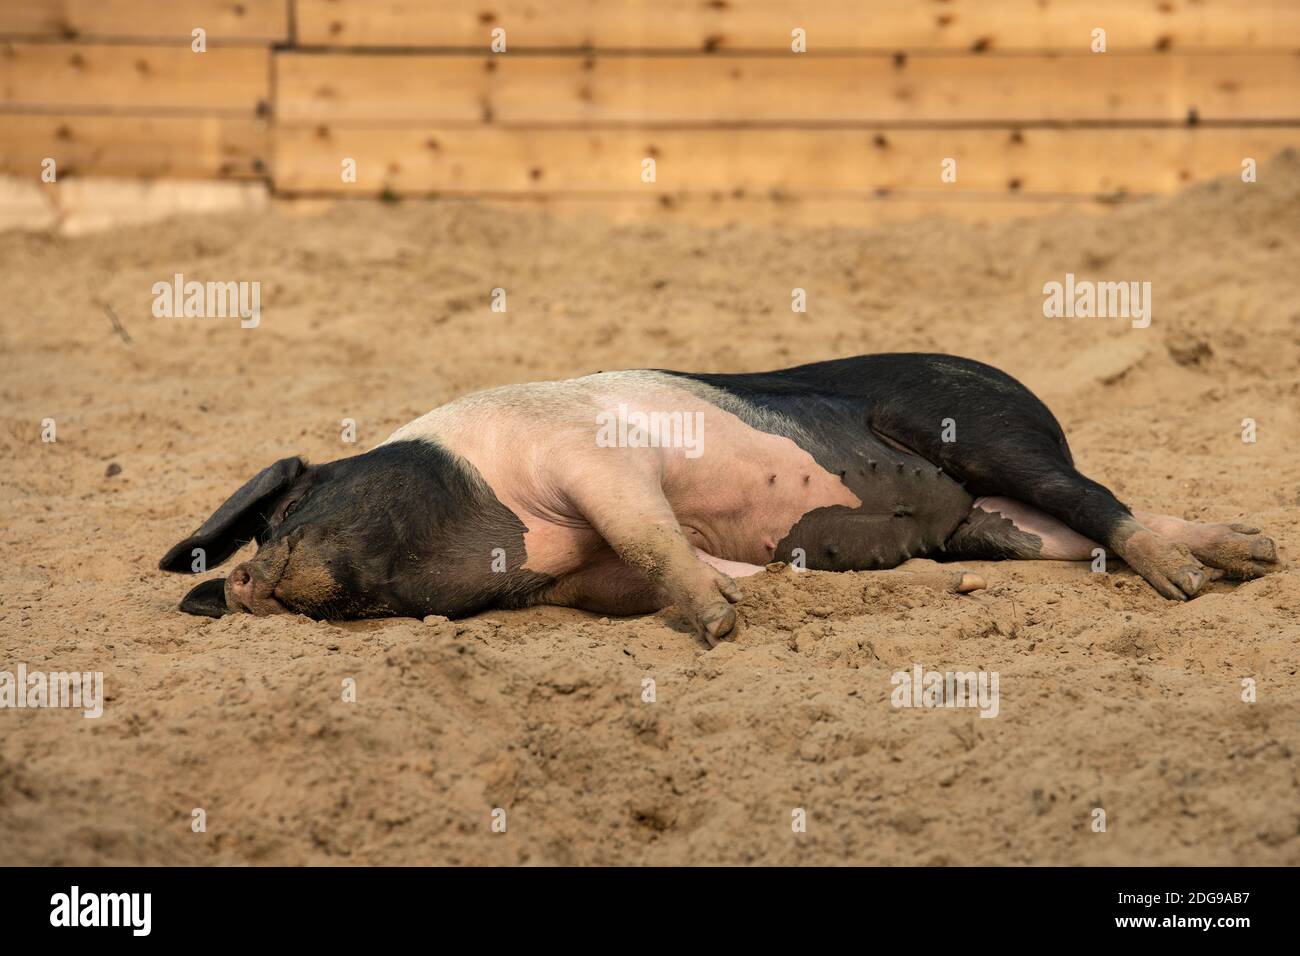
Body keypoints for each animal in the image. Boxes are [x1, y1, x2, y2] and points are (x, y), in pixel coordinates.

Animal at [160, 353, 1278, 644]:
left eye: (287, 512)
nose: (246, 584)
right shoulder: (578, 575)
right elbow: (645, 560)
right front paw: (740, 593)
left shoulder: (594, 460)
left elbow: (649, 531)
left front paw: (718, 623)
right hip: (993, 526)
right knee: (1068, 533)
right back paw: (1249, 556)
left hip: (991, 432)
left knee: (1101, 501)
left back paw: (1197, 578)